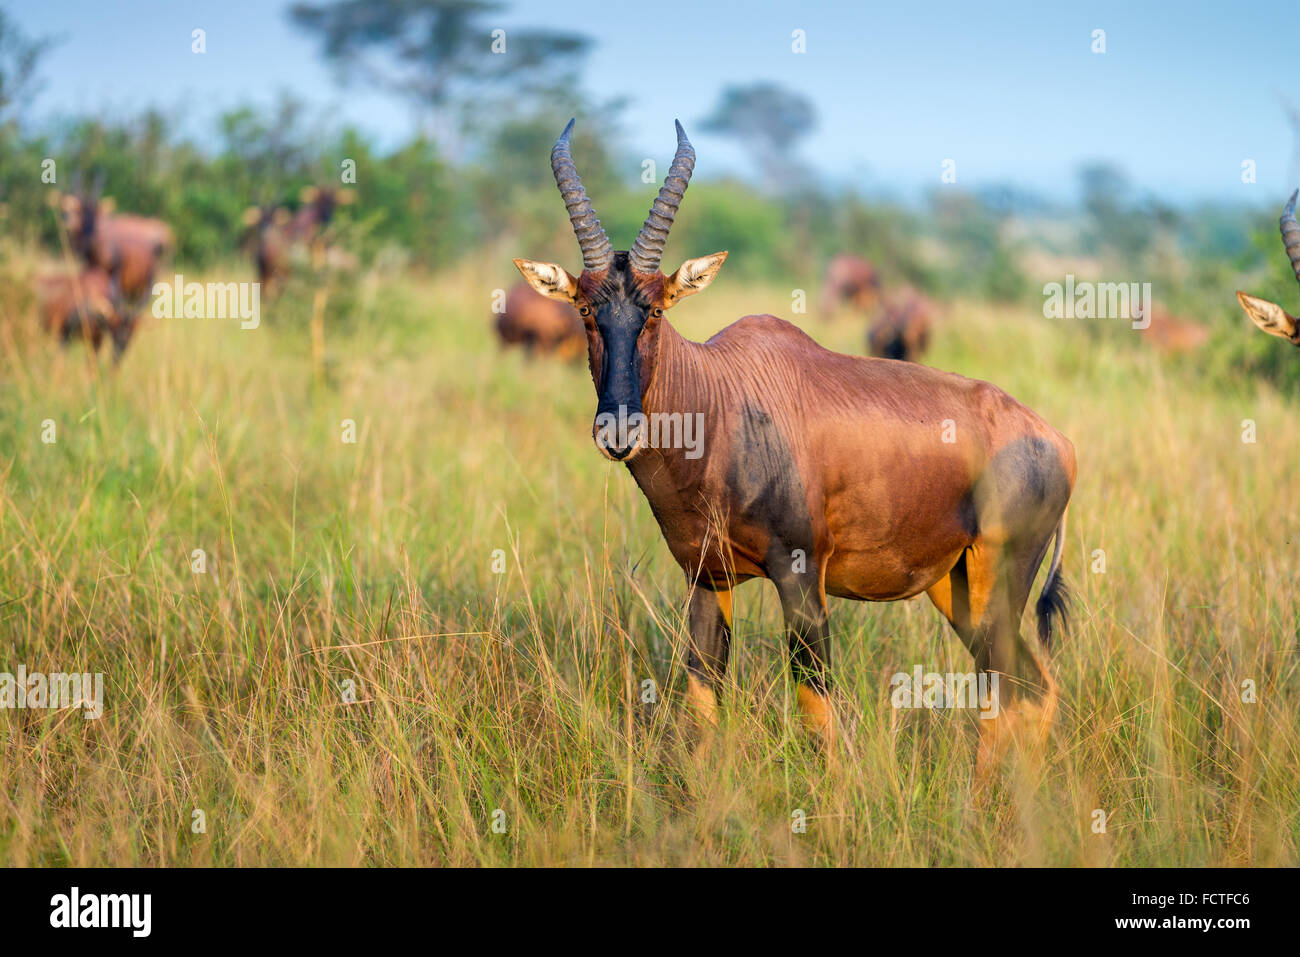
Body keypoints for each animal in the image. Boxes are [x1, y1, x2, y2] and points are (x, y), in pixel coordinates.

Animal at [514, 121, 1077, 768]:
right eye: (584, 307)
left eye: (654, 310)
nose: (617, 431)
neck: (723, 393)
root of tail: (1059, 443)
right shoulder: (707, 578)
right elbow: (703, 700)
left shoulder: (802, 576)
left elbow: (816, 708)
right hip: (954, 586)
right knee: (1026, 688)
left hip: (998, 578)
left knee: (1012, 686)